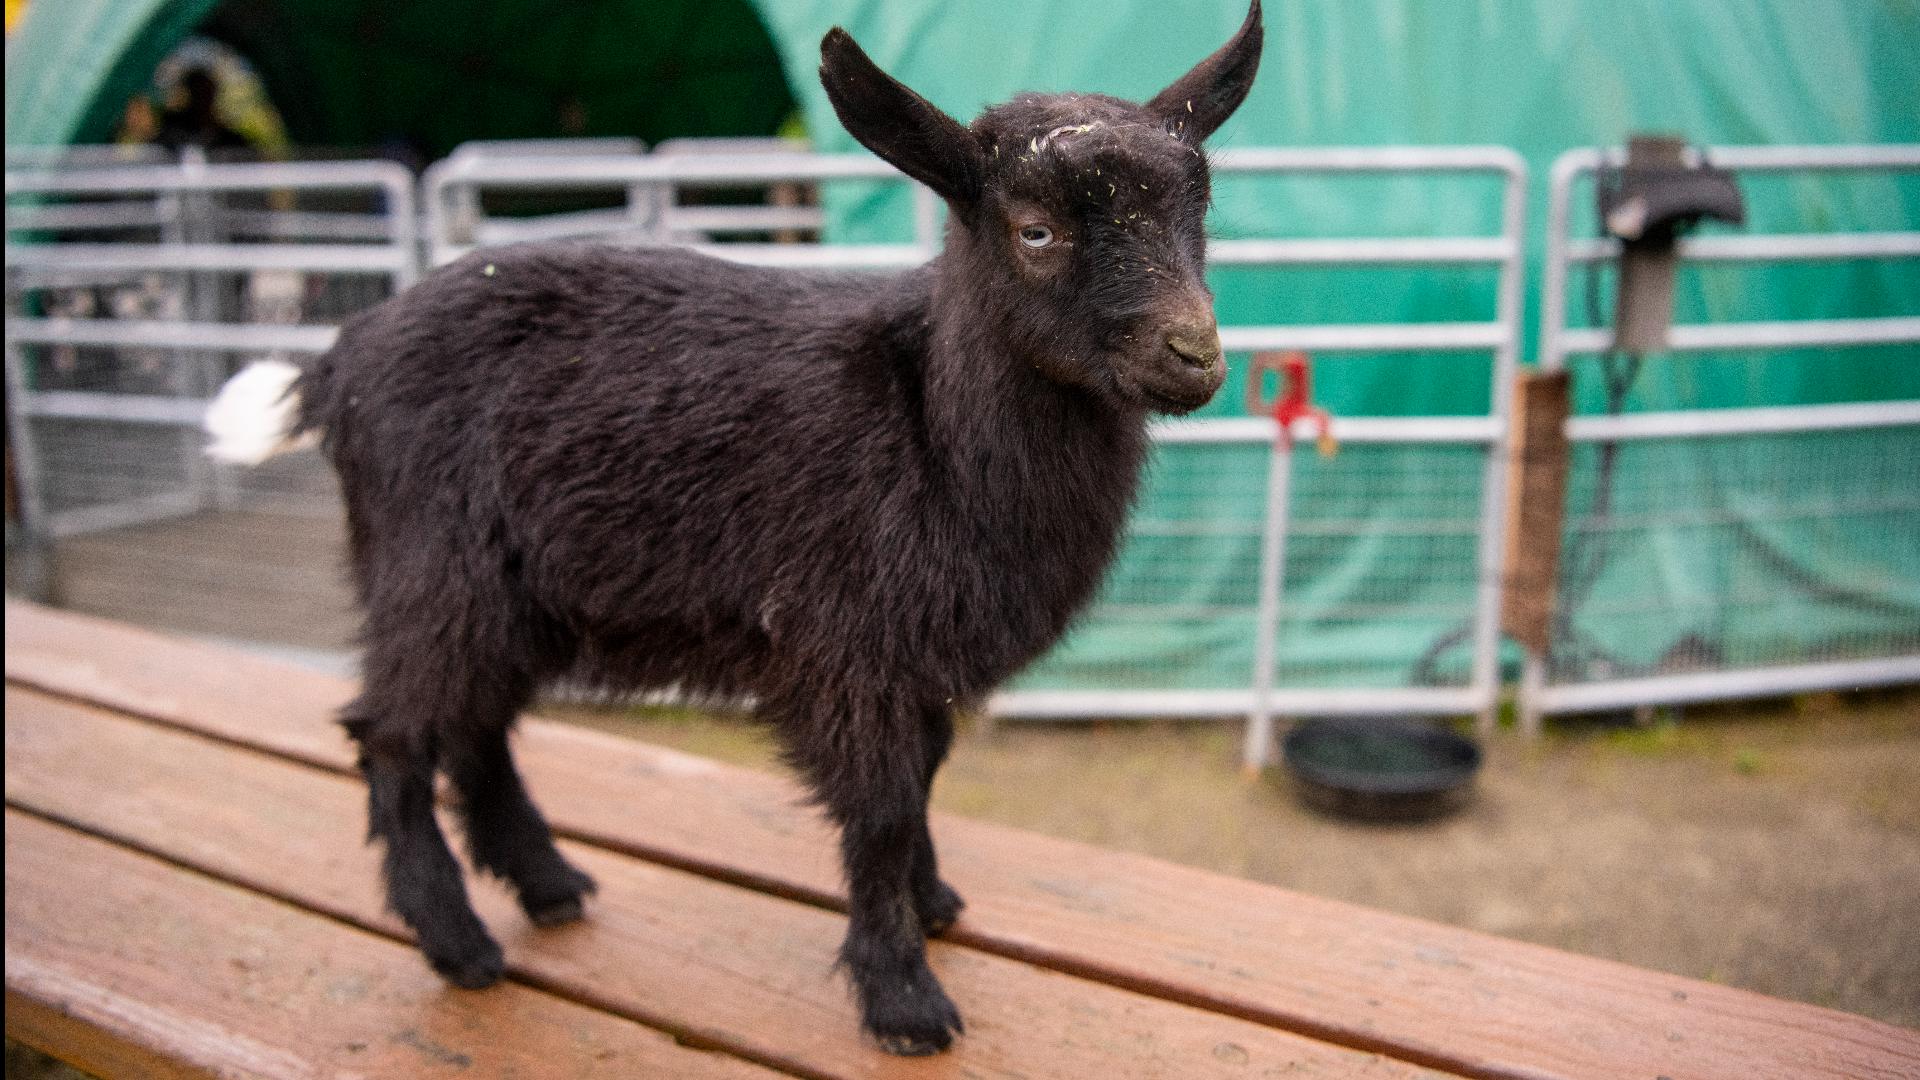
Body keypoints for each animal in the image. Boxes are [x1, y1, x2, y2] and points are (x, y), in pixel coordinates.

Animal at [206, 2, 1261, 1055]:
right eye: (1035, 230)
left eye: (1198, 214)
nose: (1195, 356)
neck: (930, 420)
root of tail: (337, 365)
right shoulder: (848, 647)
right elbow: (881, 812)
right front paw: (903, 1000)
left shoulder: (916, 660)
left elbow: (924, 781)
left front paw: (931, 907)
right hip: (432, 567)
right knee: (394, 735)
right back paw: (458, 943)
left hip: (506, 594)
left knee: (476, 732)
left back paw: (549, 888)